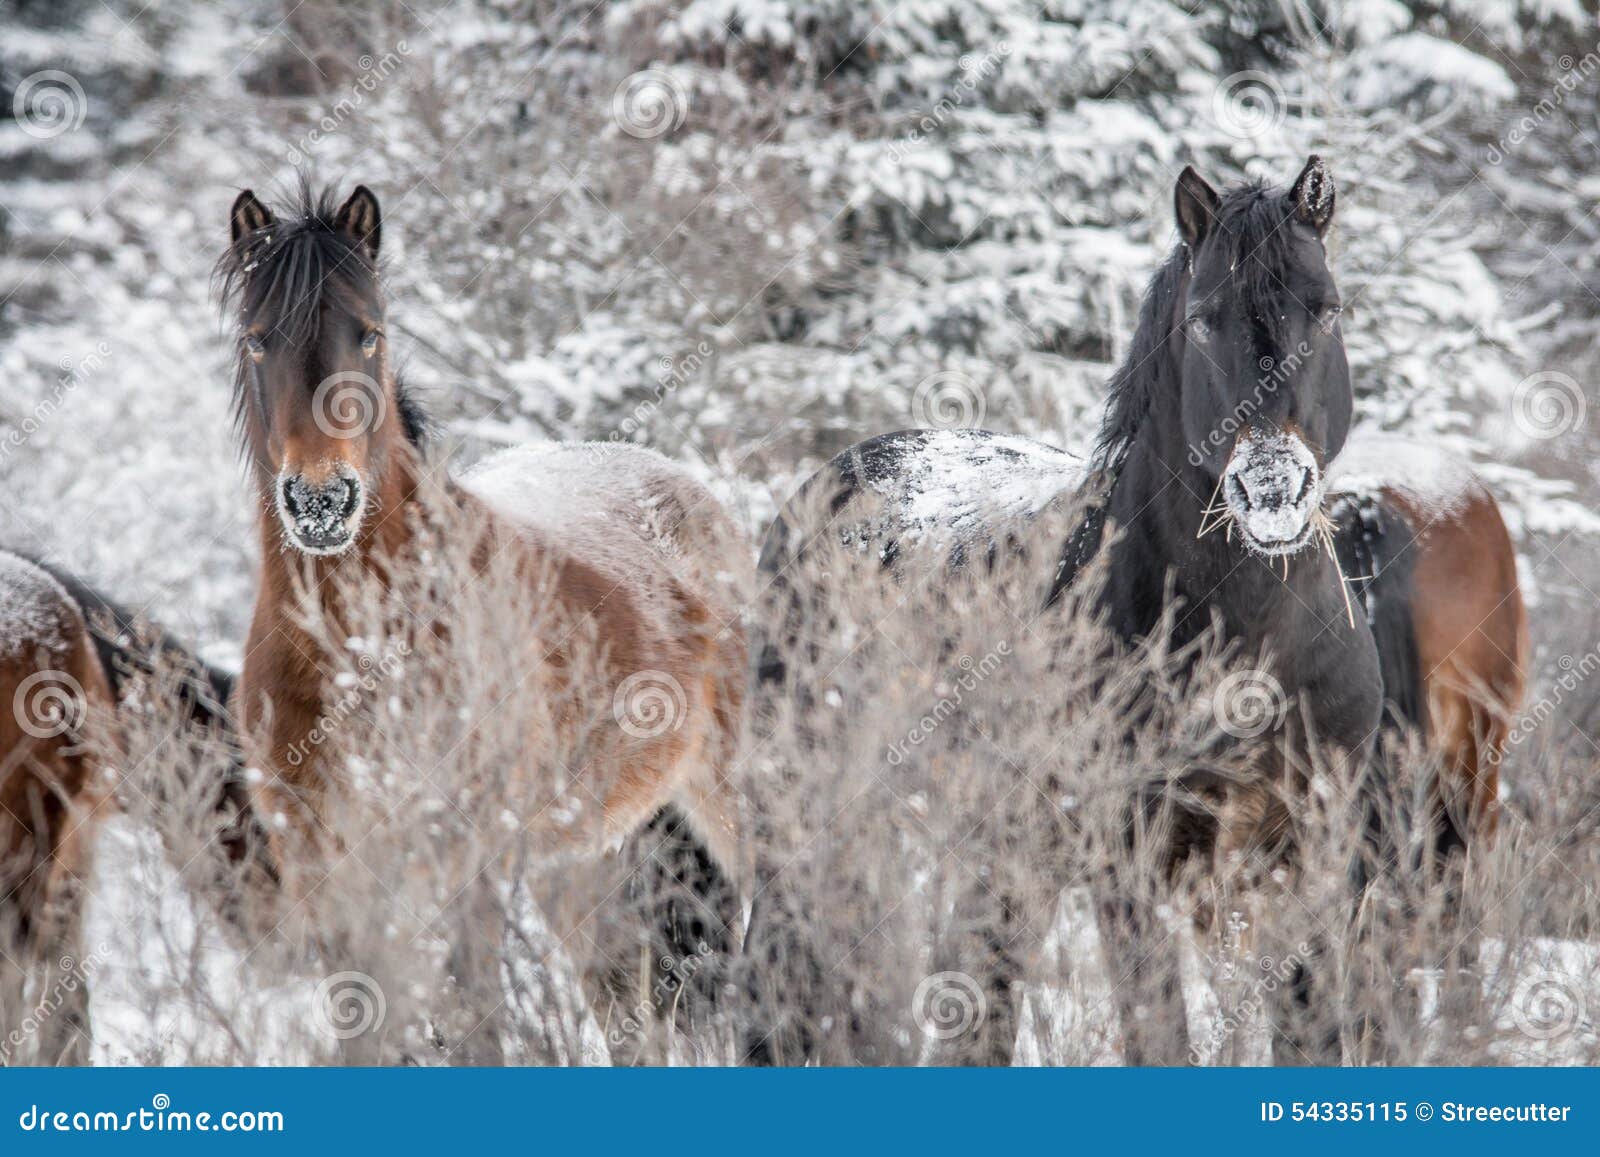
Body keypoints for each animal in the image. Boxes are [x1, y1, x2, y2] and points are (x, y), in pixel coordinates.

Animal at [215, 183, 750, 1060]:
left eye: (371, 332)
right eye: (257, 340)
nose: (323, 501)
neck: (359, 654)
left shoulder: (470, 866)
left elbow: (479, 1028)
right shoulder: (333, 881)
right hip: (589, 858)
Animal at [748, 157, 1524, 1064]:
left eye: (1327, 308)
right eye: (1201, 321)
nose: (1272, 489)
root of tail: (835, 477)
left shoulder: (1306, 854)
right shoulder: (1129, 863)